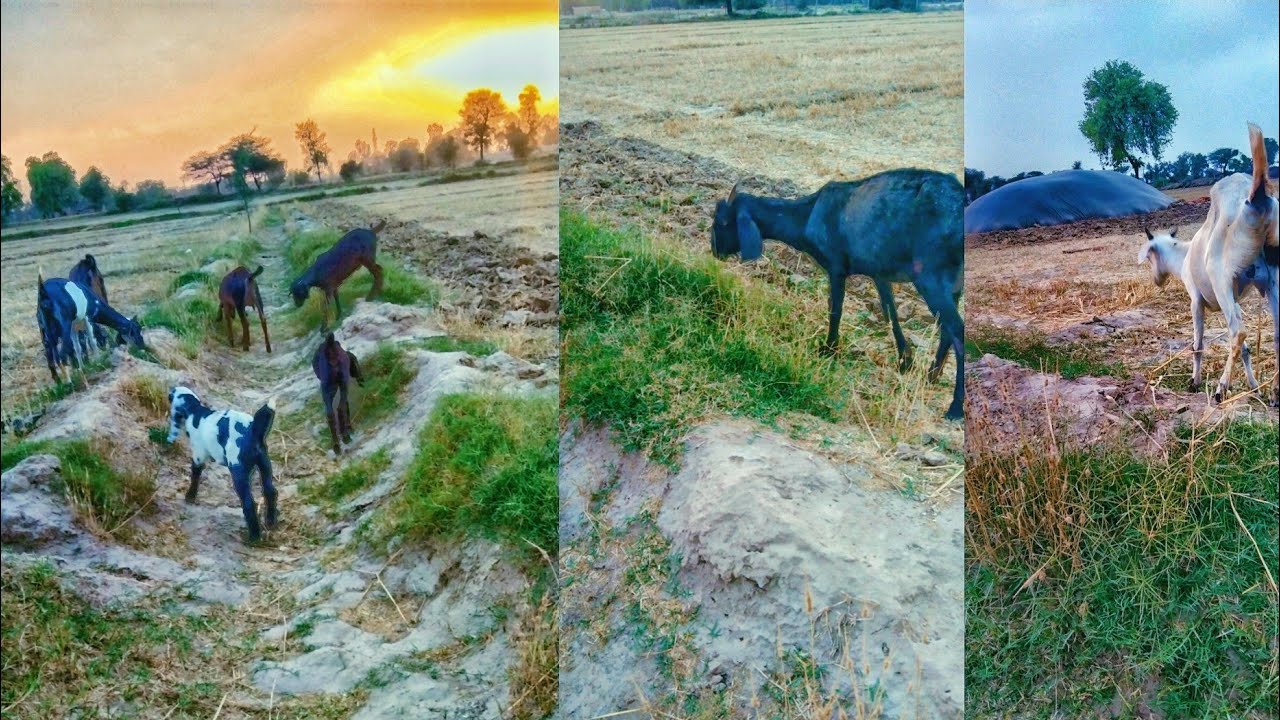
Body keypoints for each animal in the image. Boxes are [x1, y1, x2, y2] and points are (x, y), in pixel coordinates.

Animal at [166, 386, 278, 542]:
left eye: (171, 395)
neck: (196, 412)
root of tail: (253, 431)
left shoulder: (198, 456)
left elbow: (195, 476)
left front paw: (190, 496)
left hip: (238, 471)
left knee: (249, 503)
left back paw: (253, 537)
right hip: (265, 465)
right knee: (270, 491)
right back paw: (270, 521)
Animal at [711, 170, 965, 419]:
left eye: (723, 221)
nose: (714, 251)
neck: (807, 215)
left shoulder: (835, 267)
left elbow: (835, 309)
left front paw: (829, 349)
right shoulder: (878, 271)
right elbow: (890, 313)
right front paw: (905, 361)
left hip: (929, 276)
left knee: (957, 330)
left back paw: (955, 407)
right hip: (953, 284)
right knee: (946, 329)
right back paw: (932, 375)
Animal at [1139, 122, 1278, 406]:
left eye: (1149, 255)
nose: (1157, 280)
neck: (1183, 254)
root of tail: (1256, 197)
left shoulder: (1196, 299)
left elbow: (1198, 344)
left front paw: (1195, 381)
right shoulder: (1237, 301)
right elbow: (1246, 351)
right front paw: (1254, 387)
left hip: (1222, 280)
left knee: (1238, 332)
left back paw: (1220, 389)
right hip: (1273, 279)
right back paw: (1273, 394)